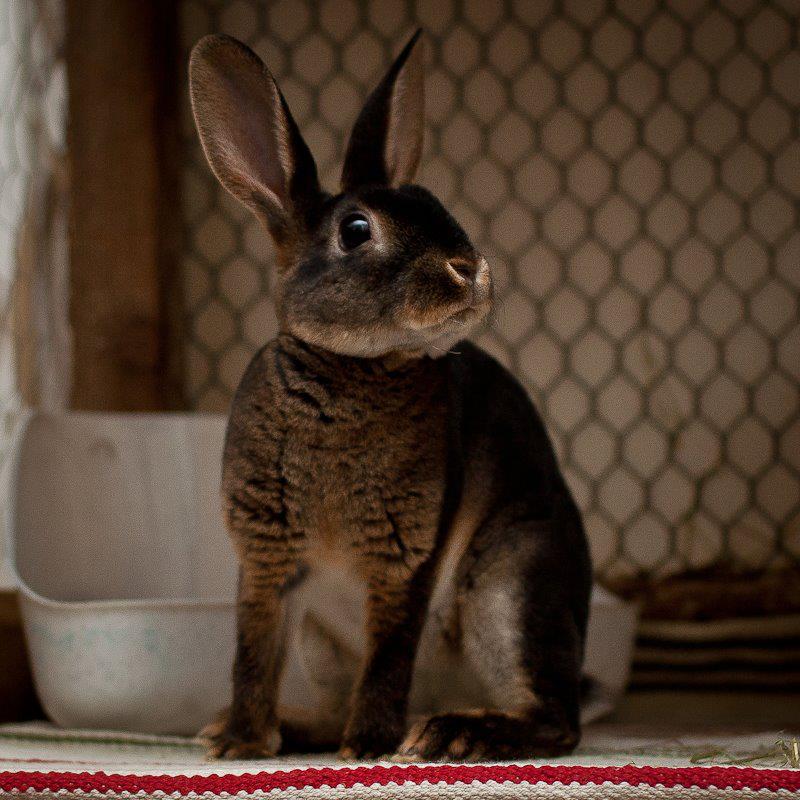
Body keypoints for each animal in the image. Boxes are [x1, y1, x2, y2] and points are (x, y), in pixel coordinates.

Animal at [189, 29, 591, 762]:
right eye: (356, 229)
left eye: (436, 203)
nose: (470, 270)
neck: (354, 369)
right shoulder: (266, 559)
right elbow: (254, 649)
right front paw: (238, 743)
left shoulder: (408, 556)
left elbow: (390, 651)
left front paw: (368, 747)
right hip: (332, 642)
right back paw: (297, 729)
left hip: (510, 589)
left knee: (555, 720)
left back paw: (449, 732)